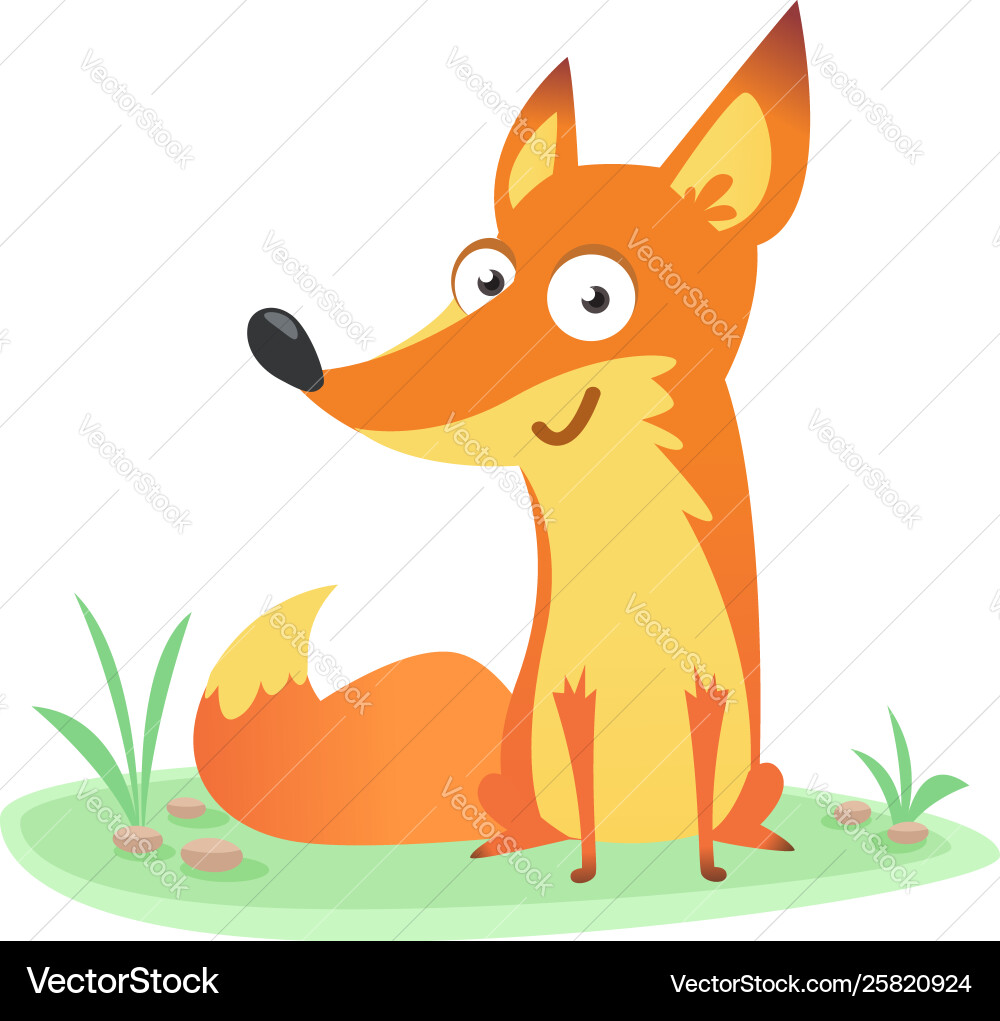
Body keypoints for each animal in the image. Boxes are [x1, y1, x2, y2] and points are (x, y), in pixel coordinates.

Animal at [195, 4, 810, 884]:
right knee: (522, 810)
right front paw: (580, 873)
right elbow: (582, 785)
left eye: (594, 298)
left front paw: (709, 871)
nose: (286, 346)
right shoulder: (569, 700)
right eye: (482, 279)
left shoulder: (711, 699)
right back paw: (514, 843)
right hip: (520, 766)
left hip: (760, 771)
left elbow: (701, 789)